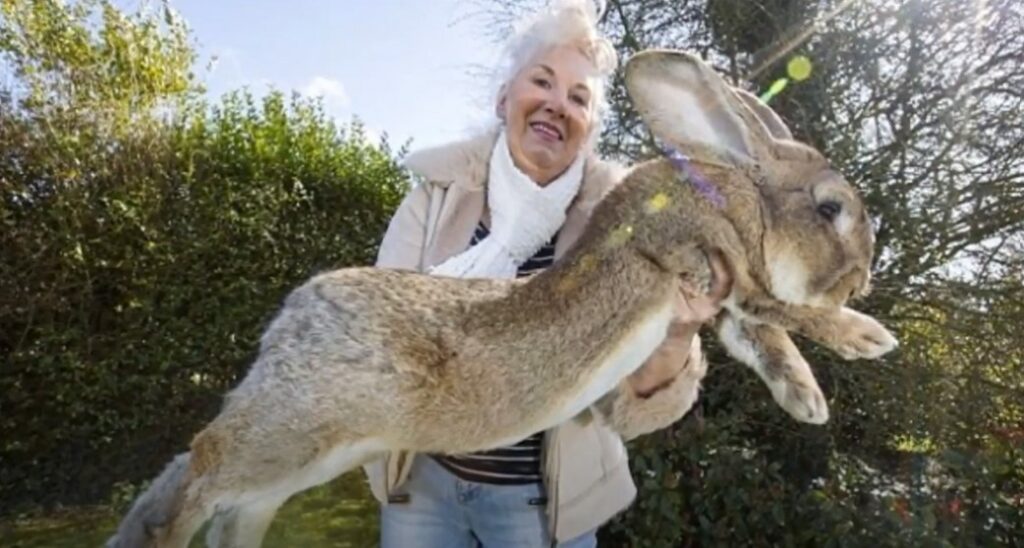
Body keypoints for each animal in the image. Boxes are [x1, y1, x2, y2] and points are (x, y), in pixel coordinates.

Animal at [106, 49, 897, 548]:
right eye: (831, 209)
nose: (863, 276)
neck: (736, 195)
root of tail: (289, 323)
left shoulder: (725, 300)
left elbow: (762, 338)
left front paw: (805, 399)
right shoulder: (708, 261)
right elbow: (785, 311)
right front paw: (866, 336)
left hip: (308, 454)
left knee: (226, 499)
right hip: (295, 429)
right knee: (202, 468)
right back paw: (160, 535)